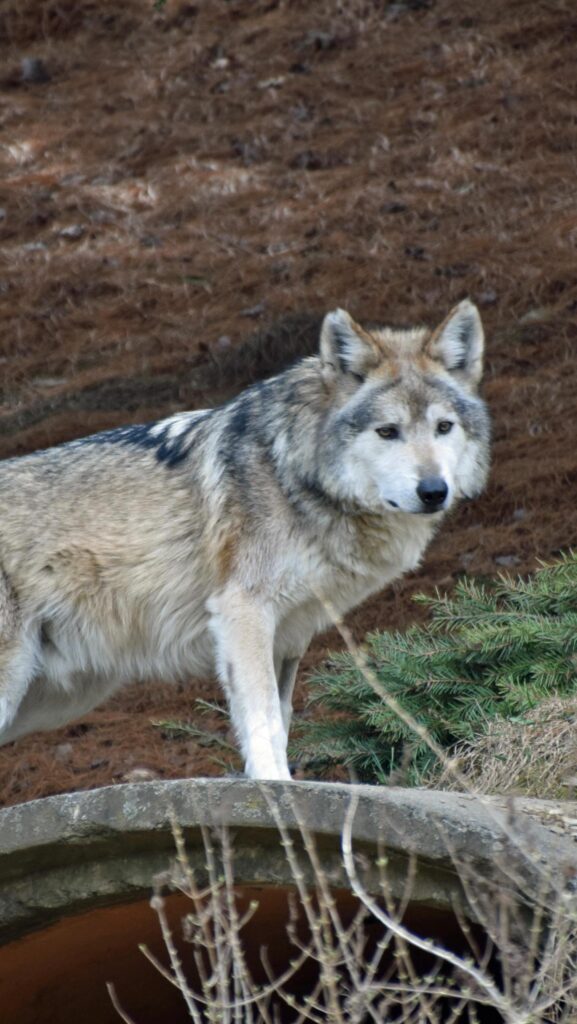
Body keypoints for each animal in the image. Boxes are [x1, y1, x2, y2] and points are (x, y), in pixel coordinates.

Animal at [0, 300, 490, 780]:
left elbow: (283, 719)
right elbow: (263, 720)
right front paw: (275, 786)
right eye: (388, 431)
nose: (434, 491)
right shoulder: (243, 613)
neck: (290, 471)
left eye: (443, 427)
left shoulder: (289, 638)